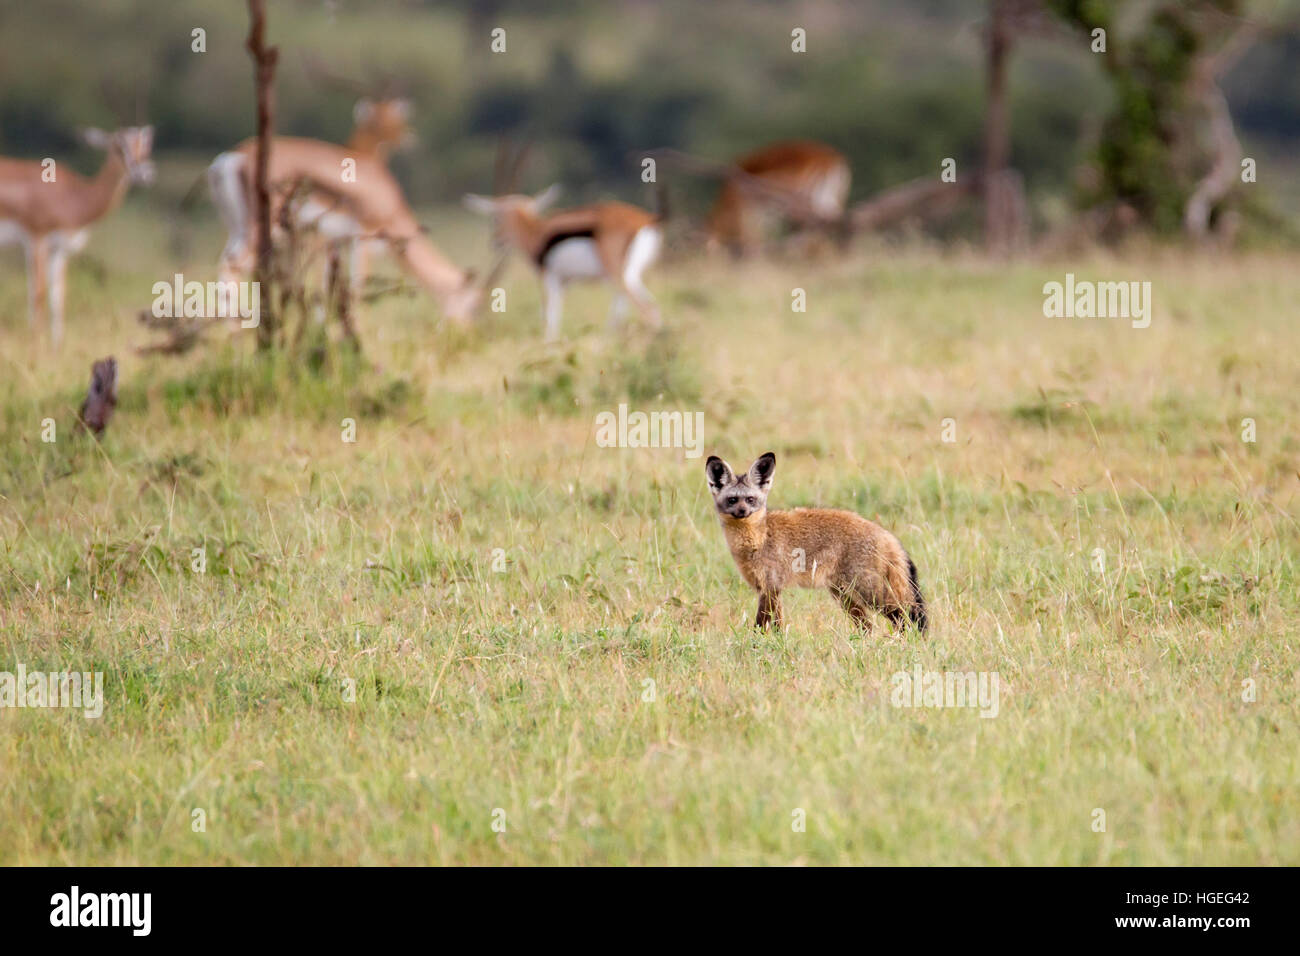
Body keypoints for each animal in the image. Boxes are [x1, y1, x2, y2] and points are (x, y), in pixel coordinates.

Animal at [705, 452, 927, 633]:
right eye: (733, 500)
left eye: (750, 500)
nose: (742, 512)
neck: (758, 539)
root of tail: (887, 535)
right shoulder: (769, 590)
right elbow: (776, 626)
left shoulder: (770, 587)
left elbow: (760, 626)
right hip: (844, 596)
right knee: (868, 627)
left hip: (869, 593)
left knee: (905, 615)